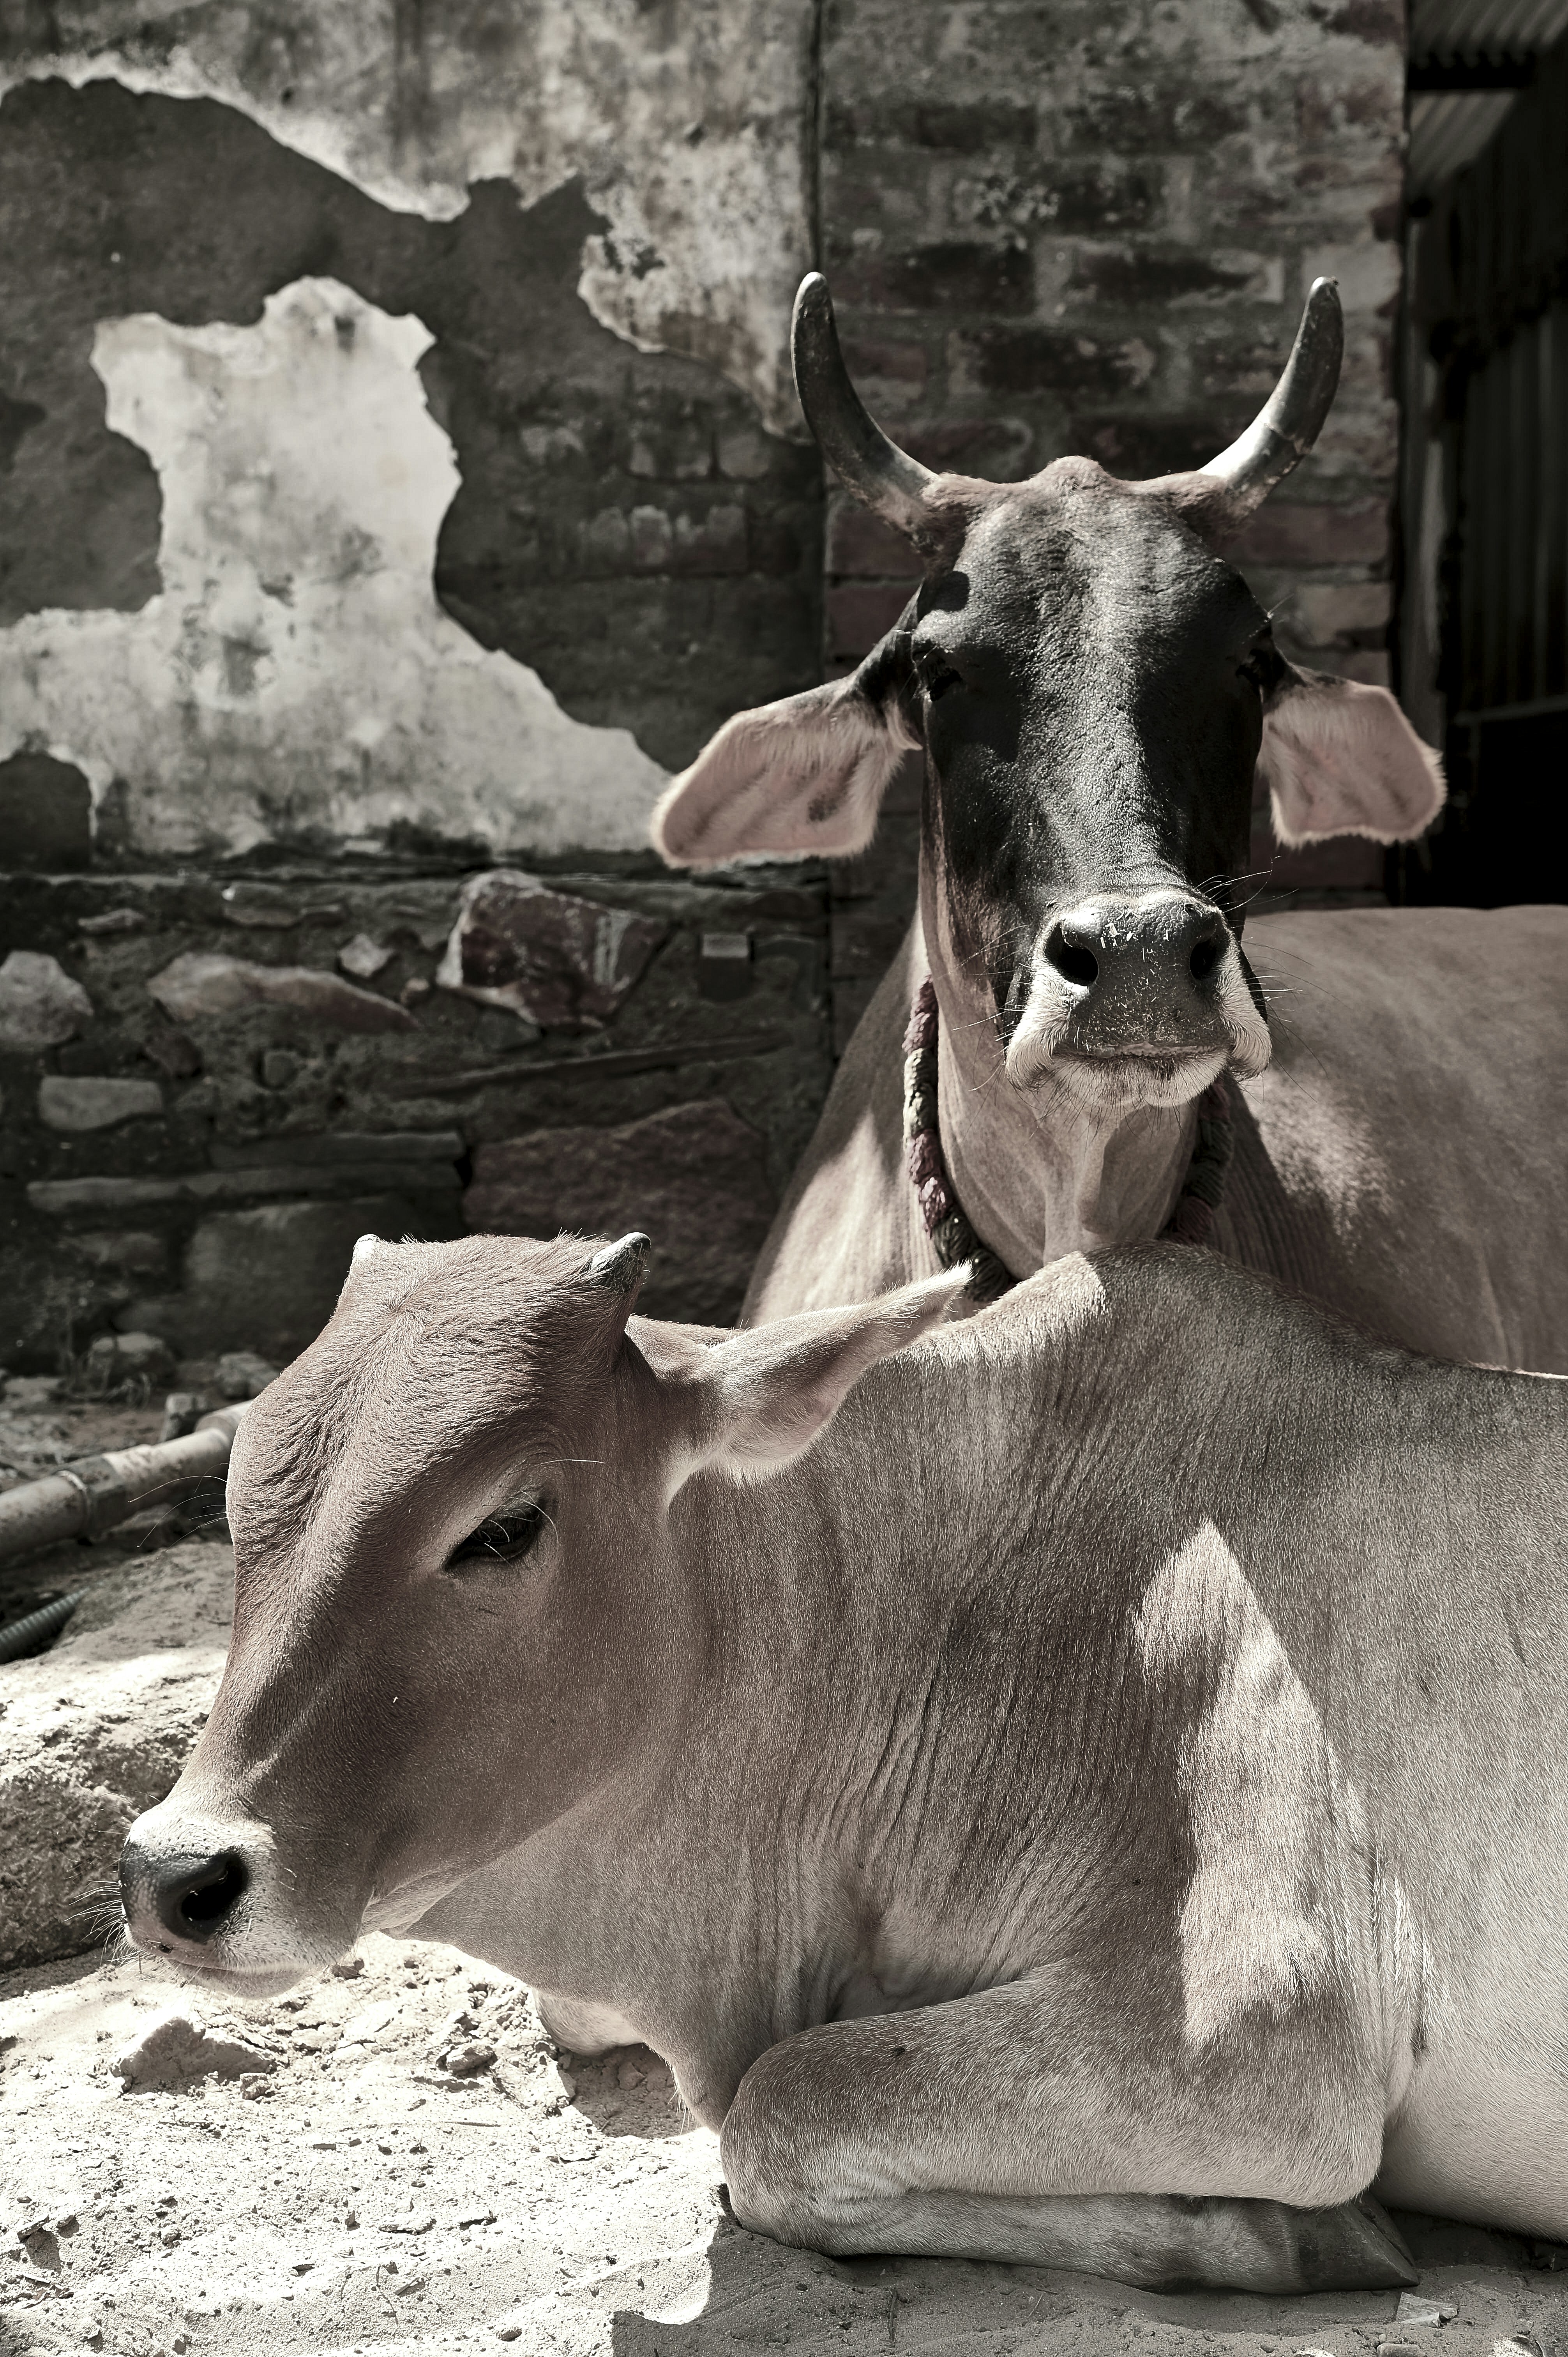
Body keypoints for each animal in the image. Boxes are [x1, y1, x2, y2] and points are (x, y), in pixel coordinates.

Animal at [119, 1228, 1568, 2294]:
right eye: (238, 1498)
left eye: (506, 1526)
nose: (175, 1875)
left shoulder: (1264, 2029)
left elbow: (780, 2112)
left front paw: (1302, 2234)